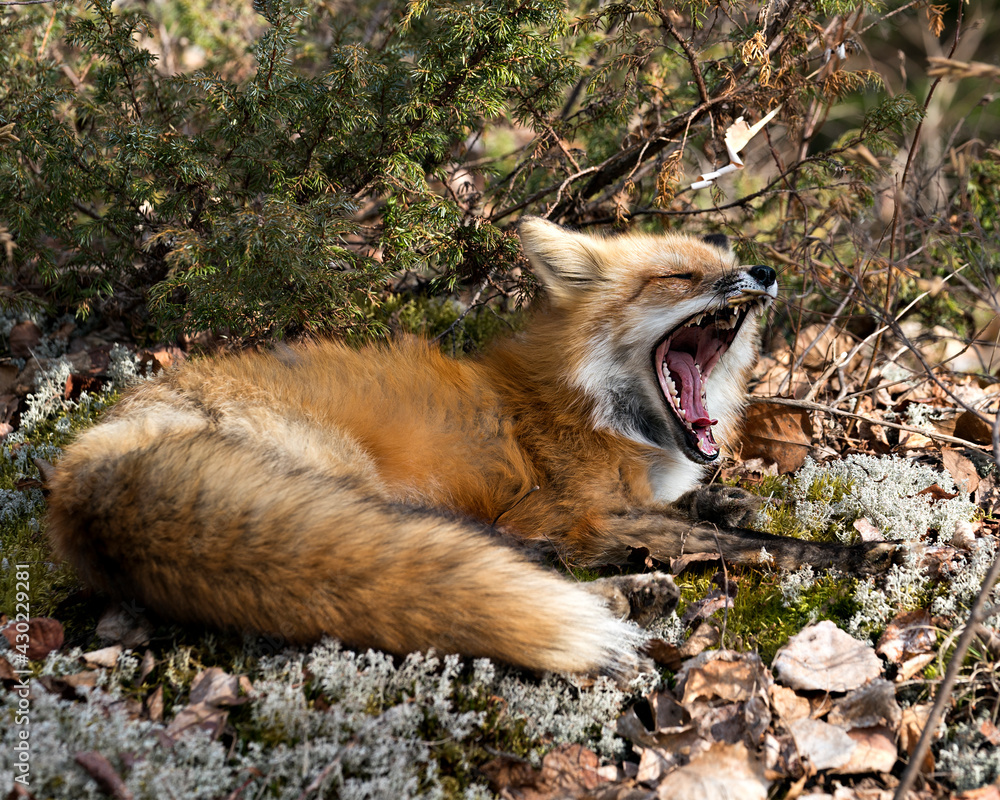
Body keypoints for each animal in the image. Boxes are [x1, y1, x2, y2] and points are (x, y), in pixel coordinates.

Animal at [45, 218, 894, 676]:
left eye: (728, 266)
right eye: (680, 276)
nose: (763, 271)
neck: (595, 408)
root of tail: (84, 463)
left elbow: (712, 509)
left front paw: (725, 494)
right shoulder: (584, 511)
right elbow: (762, 545)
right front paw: (857, 558)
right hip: (351, 480)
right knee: (488, 552)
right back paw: (629, 589)